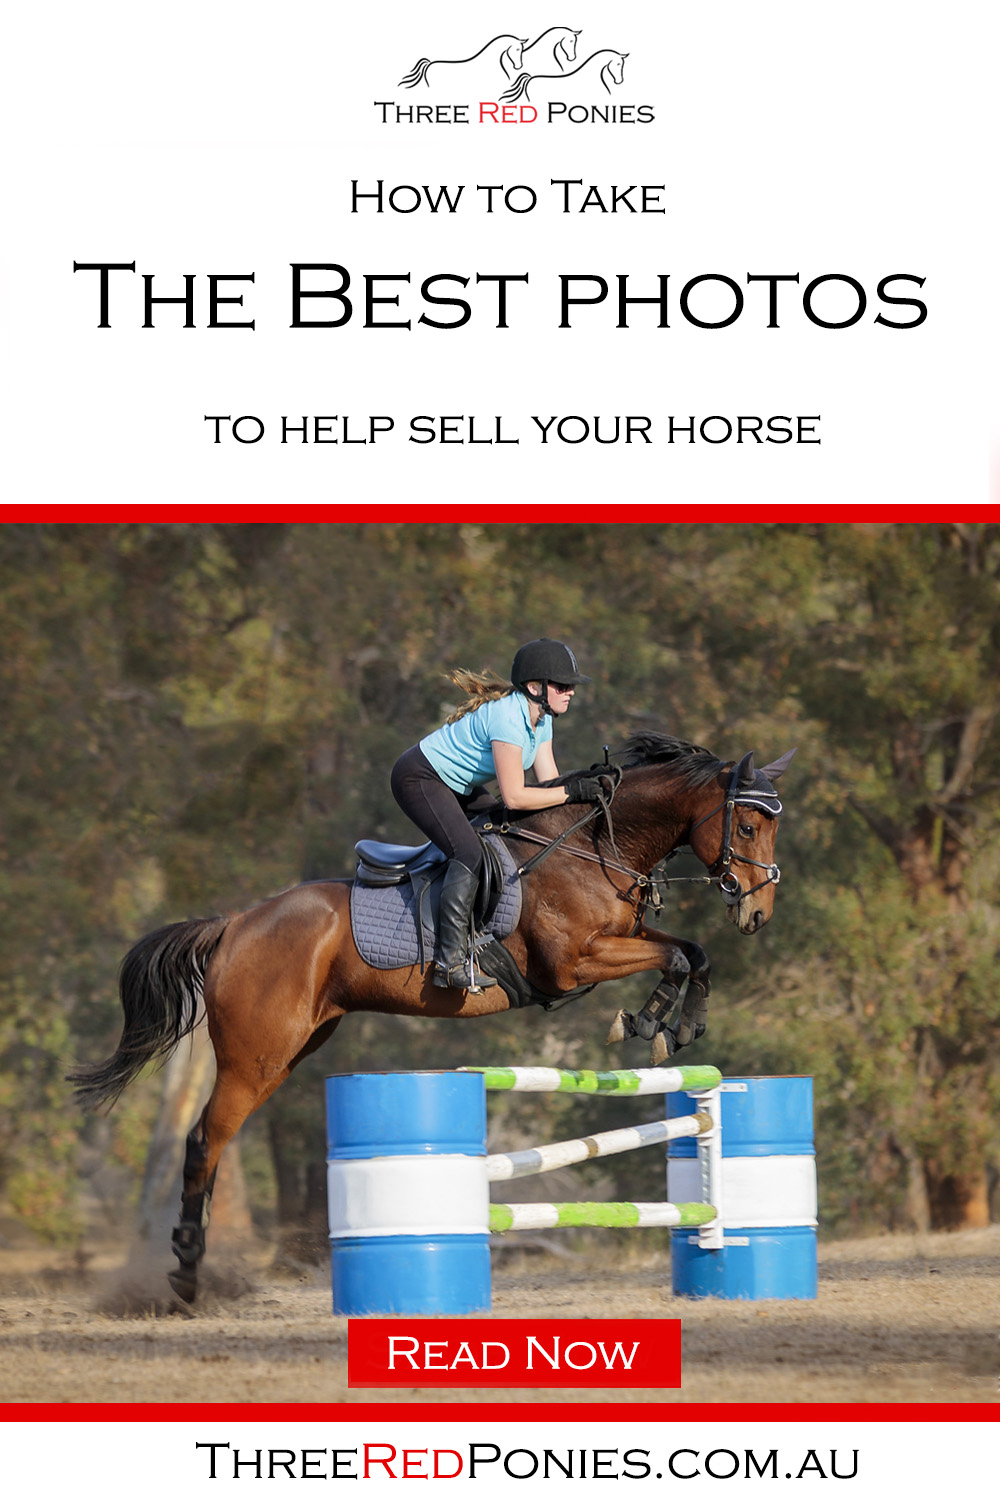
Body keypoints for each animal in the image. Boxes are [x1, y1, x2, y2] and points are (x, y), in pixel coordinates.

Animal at [68, 734, 794, 1304]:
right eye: (747, 827)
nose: (757, 912)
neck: (594, 846)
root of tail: (236, 923)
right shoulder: (573, 964)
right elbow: (673, 958)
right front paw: (648, 1023)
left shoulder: (622, 940)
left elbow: (691, 953)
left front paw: (677, 1025)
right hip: (256, 1056)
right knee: (202, 1142)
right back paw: (186, 1274)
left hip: (295, 1046)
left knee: (213, 1142)